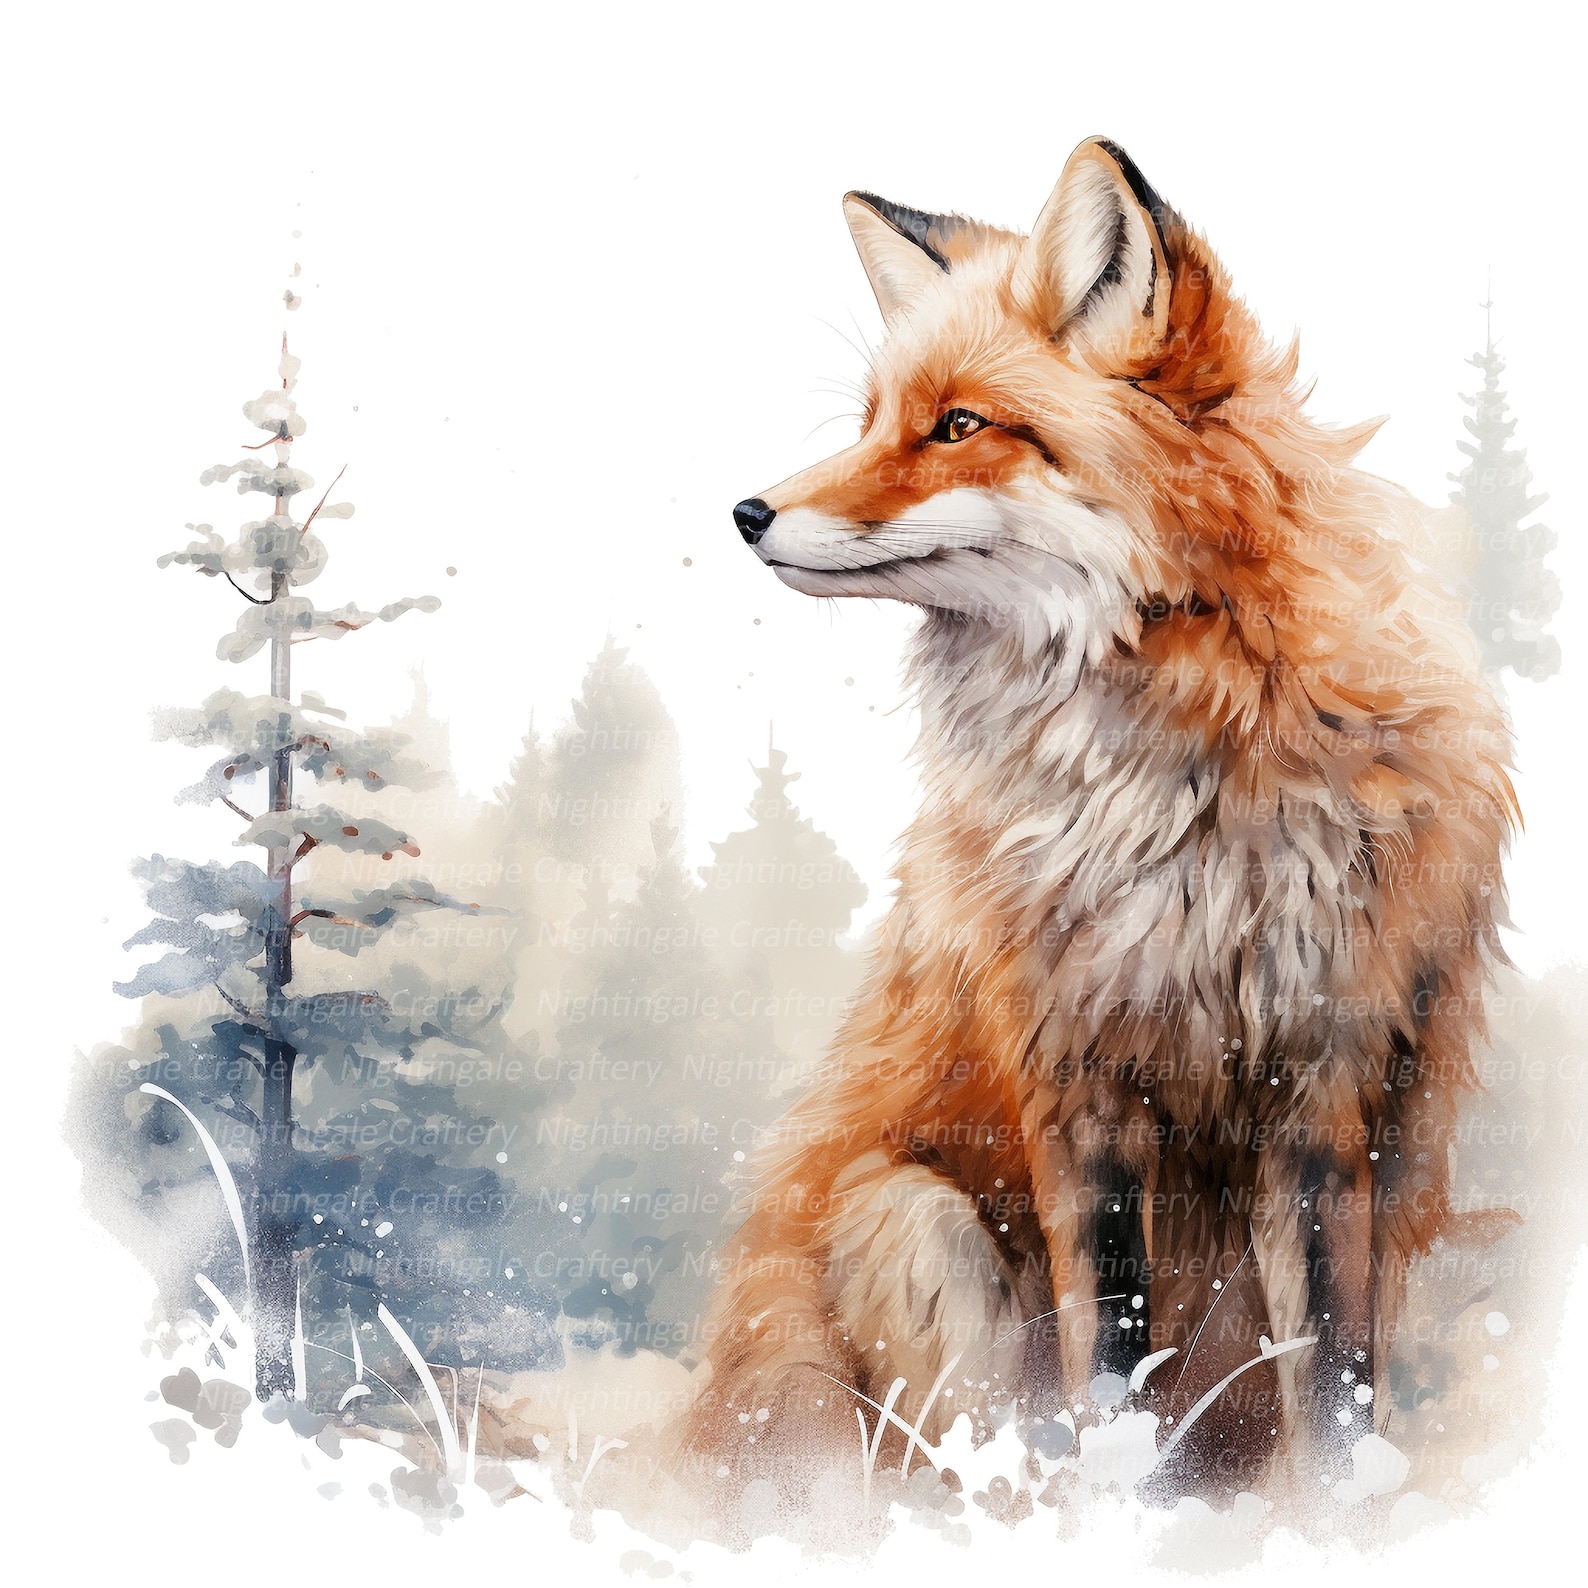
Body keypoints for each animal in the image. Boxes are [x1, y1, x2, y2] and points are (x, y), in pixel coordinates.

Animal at [689, 137, 1516, 1503]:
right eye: (870, 421)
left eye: (958, 426)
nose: (744, 513)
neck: (1179, 793)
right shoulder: (1074, 1075)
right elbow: (1114, 1364)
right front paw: (1128, 1512)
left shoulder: (1322, 1076)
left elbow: (1334, 1374)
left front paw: (1336, 1513)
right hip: (908, 1219)